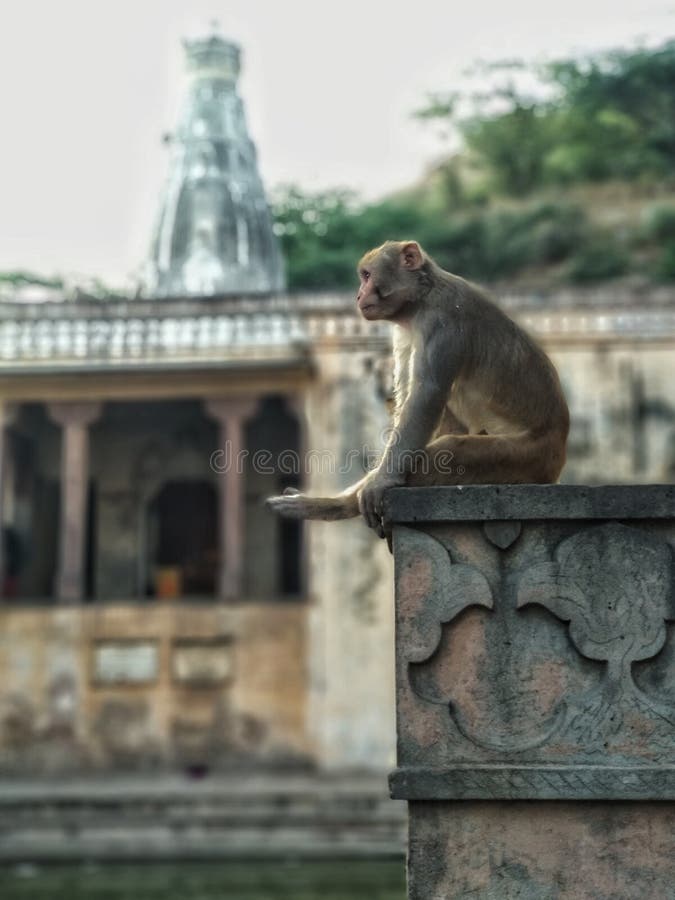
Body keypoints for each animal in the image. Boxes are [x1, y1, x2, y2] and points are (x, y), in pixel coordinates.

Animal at [267, 240, 569, 538]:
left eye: (367, 275)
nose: (358, 295)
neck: (421, 298)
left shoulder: (442, 321)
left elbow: (427, 395)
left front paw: (380, 482)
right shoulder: (404, 330)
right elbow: (406, 397)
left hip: (524, 456)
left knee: (452, 449)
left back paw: (338, 505)